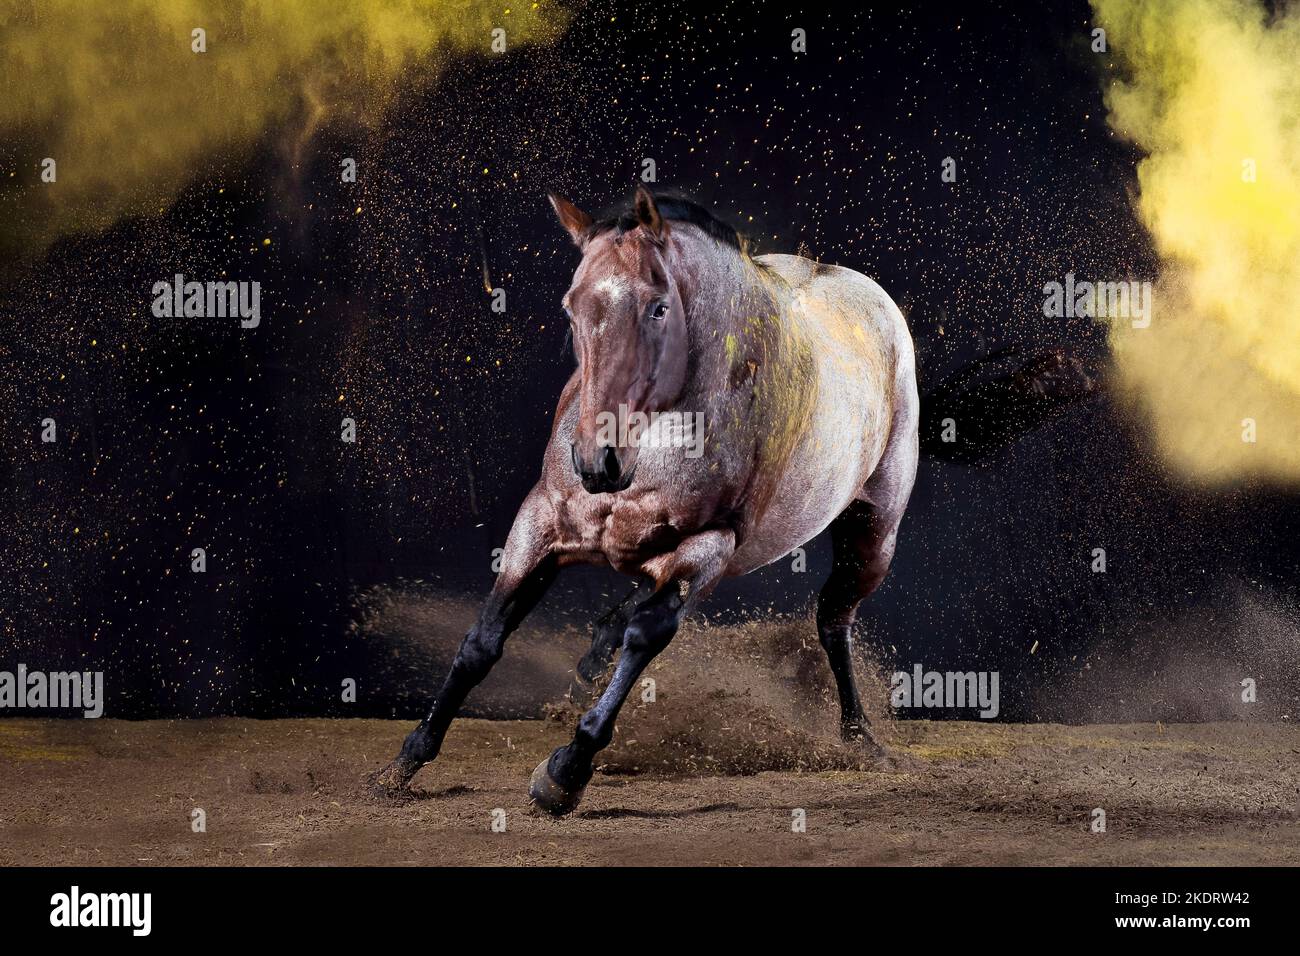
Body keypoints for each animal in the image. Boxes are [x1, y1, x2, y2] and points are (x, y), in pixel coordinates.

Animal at [375, 186, 919, 815]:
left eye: (659, 308)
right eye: (571, 307)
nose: (596, 461)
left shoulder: (708, 548)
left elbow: (645, 636)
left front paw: (565, 771)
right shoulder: (539, 524)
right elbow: (481, 643)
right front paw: (406, 760)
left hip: (871, 538)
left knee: (833, 622)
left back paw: (859, 737)